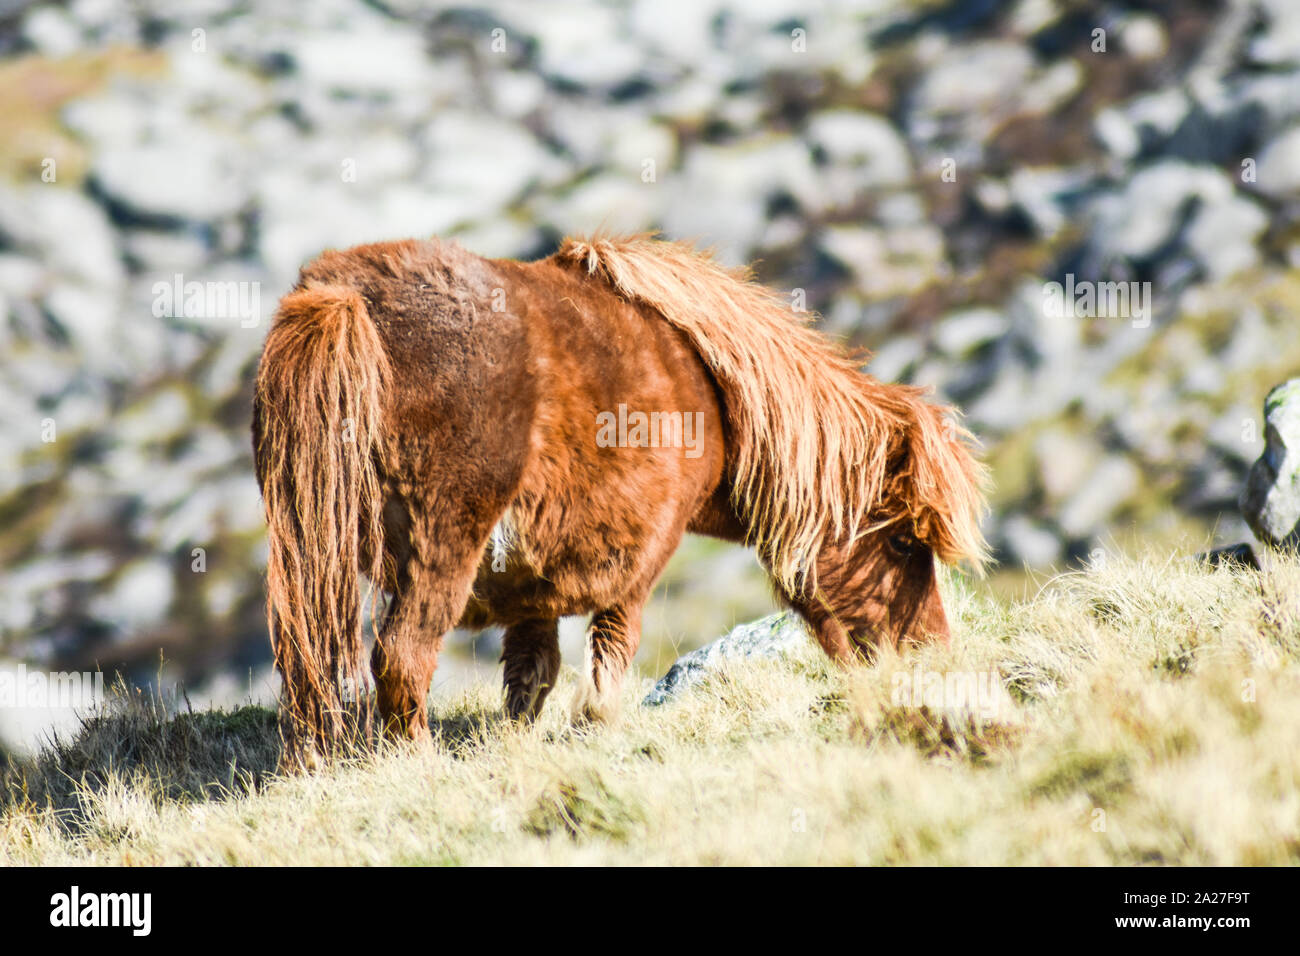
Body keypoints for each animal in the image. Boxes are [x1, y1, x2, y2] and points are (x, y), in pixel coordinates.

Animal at [252, 233, 988, 770]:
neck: (715, 392)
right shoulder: (638, 566)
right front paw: (594, 730)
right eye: (903, 540)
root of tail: (344, 296)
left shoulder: (533, 590)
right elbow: (608, 660)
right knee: (402, 657)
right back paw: (420, 765)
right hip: (440, 548)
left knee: (312, 665)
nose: (933, 658)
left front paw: (519, 747)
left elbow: (531, 676)